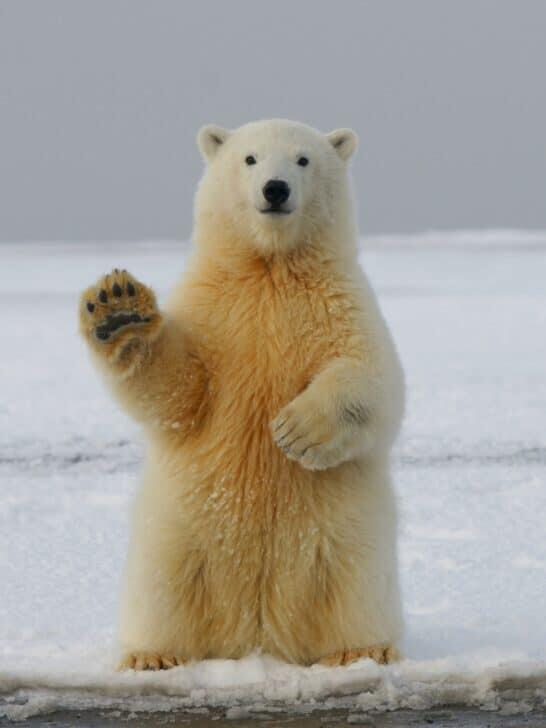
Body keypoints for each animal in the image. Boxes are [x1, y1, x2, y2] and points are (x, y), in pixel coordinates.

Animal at [78, 119, 405, 670]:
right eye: (249, 158)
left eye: (302, 159)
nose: (275, 189)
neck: (269, 267)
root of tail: (258, 636)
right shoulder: (214, 311)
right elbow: (180, 391)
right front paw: (119, 310)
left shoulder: (341, 303)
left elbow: (372, 377)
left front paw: (296, 430)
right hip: (177, 532)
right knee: (162, 587)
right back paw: (152, 655)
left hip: (347, 534)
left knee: (355, 584)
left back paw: (363, 650)